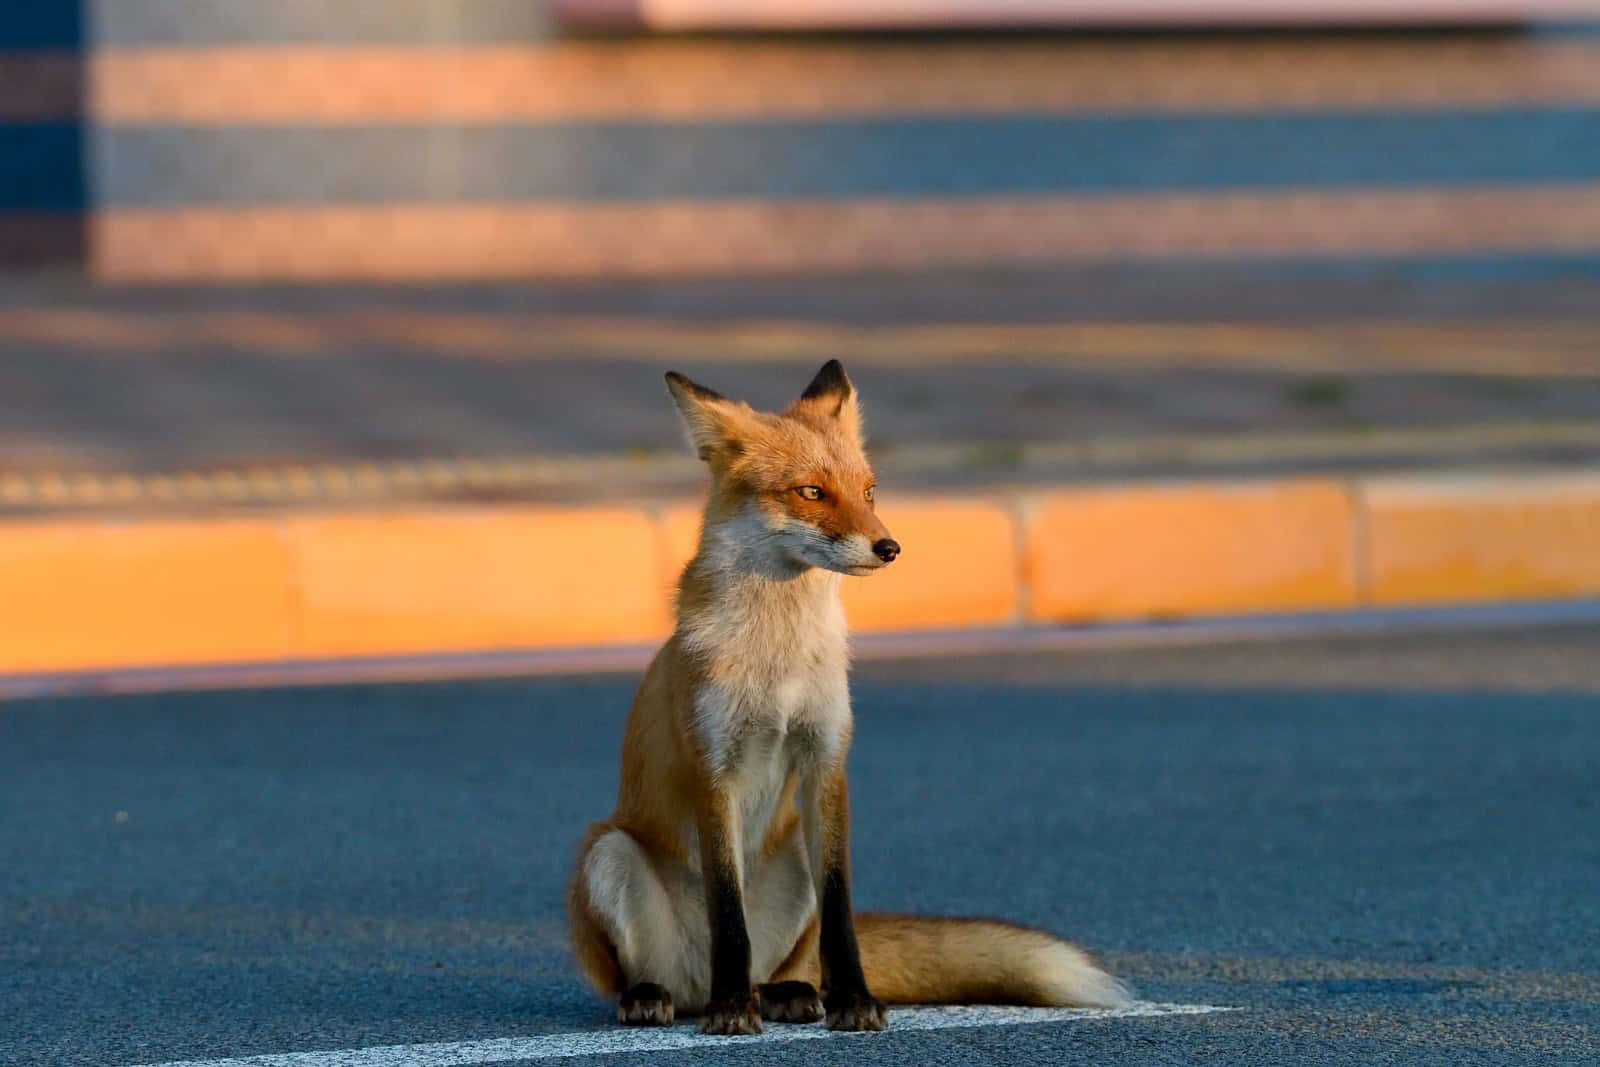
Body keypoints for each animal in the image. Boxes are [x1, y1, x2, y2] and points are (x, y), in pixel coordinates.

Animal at [567, 360, 1131, 1034]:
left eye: (869, 492)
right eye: (811, 492)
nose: (889, 548)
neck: (778, 662)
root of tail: (695, 982)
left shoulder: (825, 762)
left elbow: (841, 914)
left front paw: (854, 1001)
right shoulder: (714, 768)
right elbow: (728, 912)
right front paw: (732, 1013)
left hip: (791, 863)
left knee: (787, 965)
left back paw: (784, 993)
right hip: (608, 852)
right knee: (667, 972)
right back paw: (673, 995)